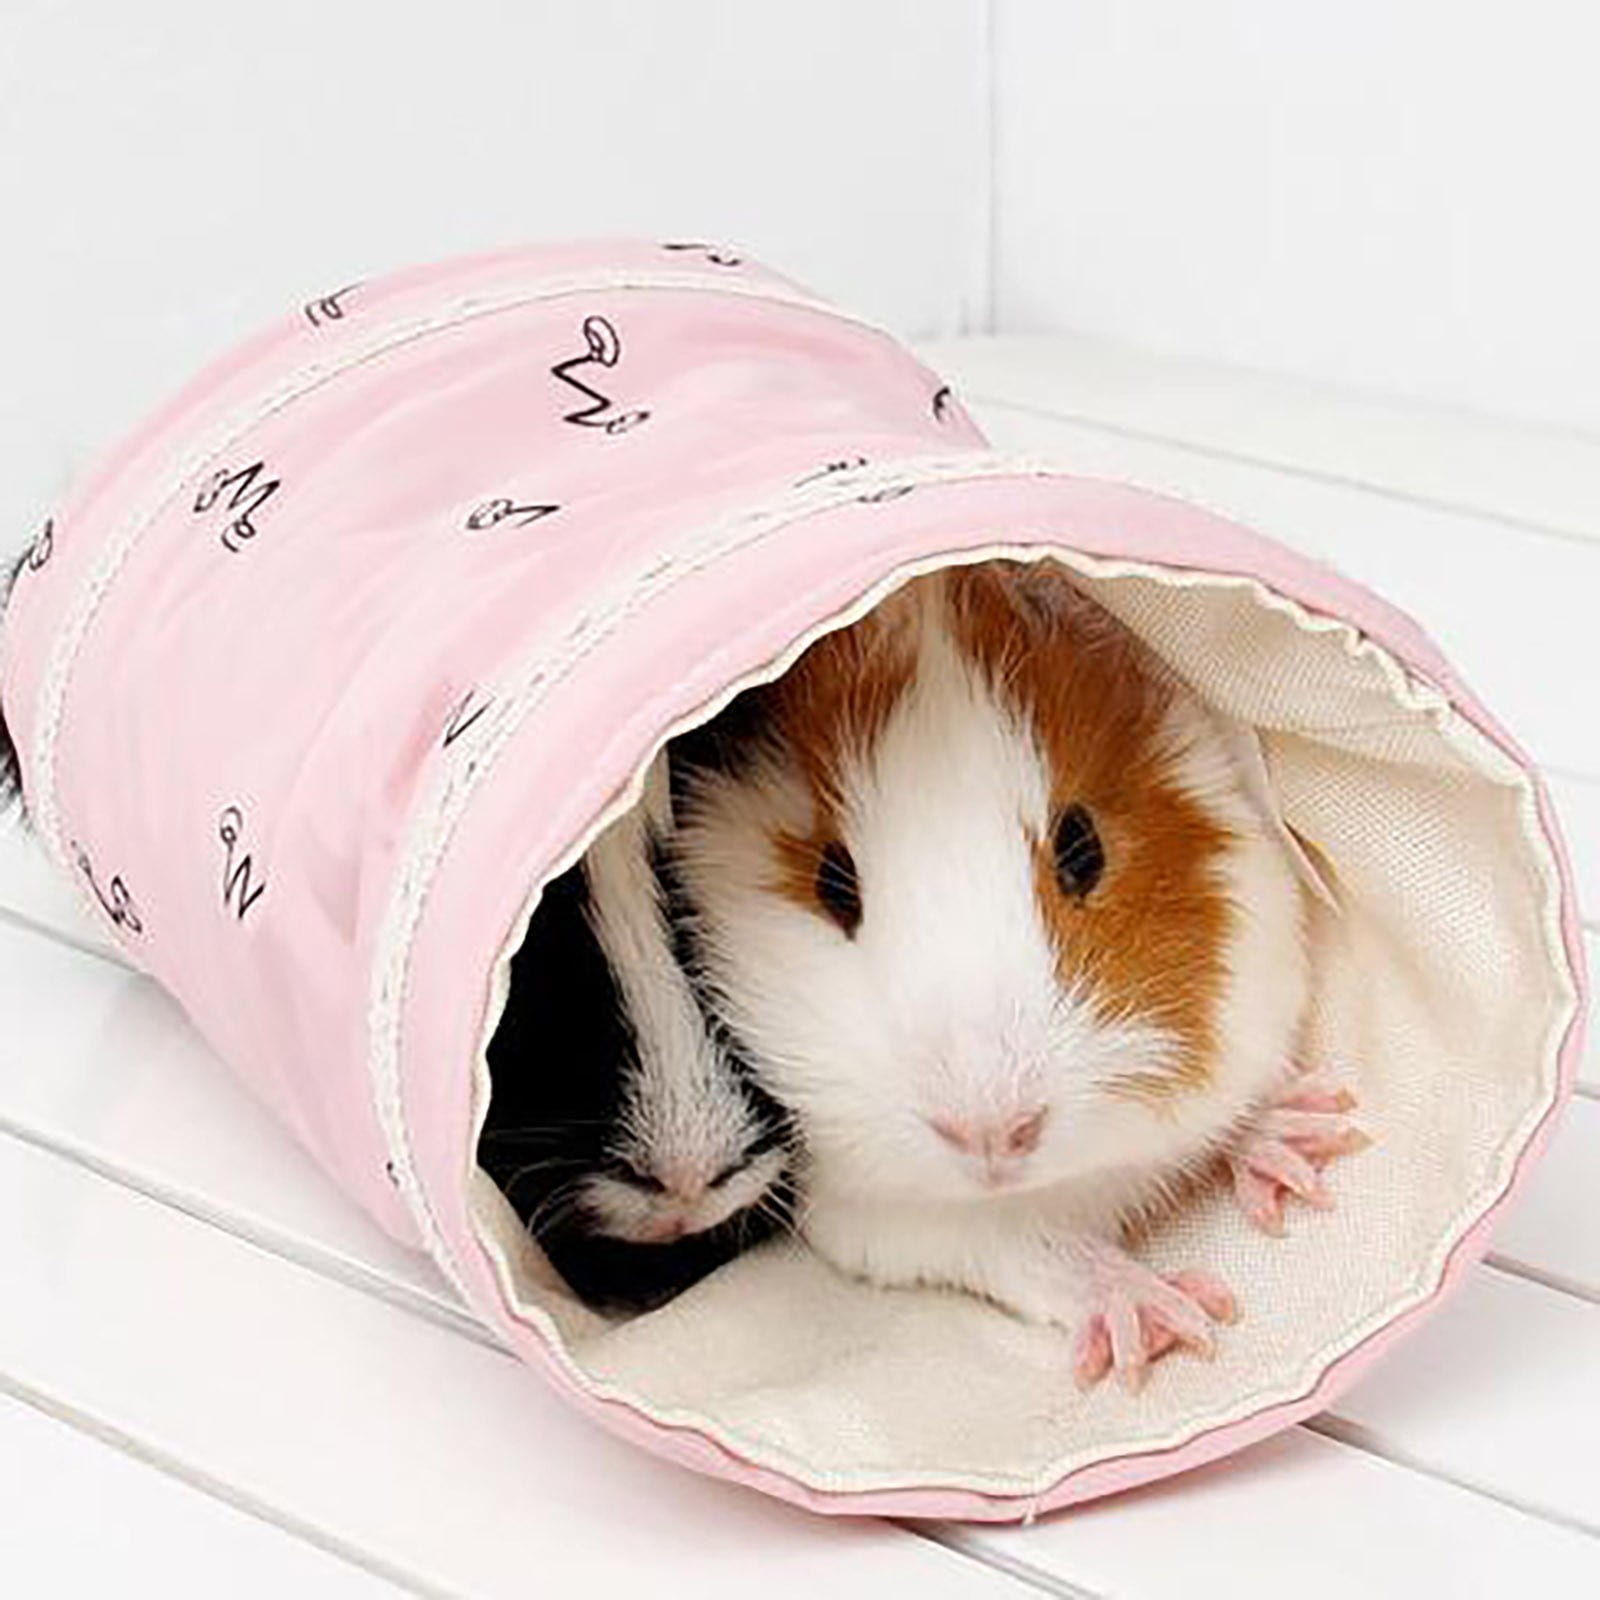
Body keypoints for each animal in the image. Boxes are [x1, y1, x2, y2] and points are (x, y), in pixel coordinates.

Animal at [675, 562, 1362, 1387]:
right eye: (834, 883)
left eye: (1082, 847)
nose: (992, 1135)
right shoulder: (887, 1216)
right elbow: (1042, 1253)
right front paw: (1172, 1325)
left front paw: (1315, 1141)